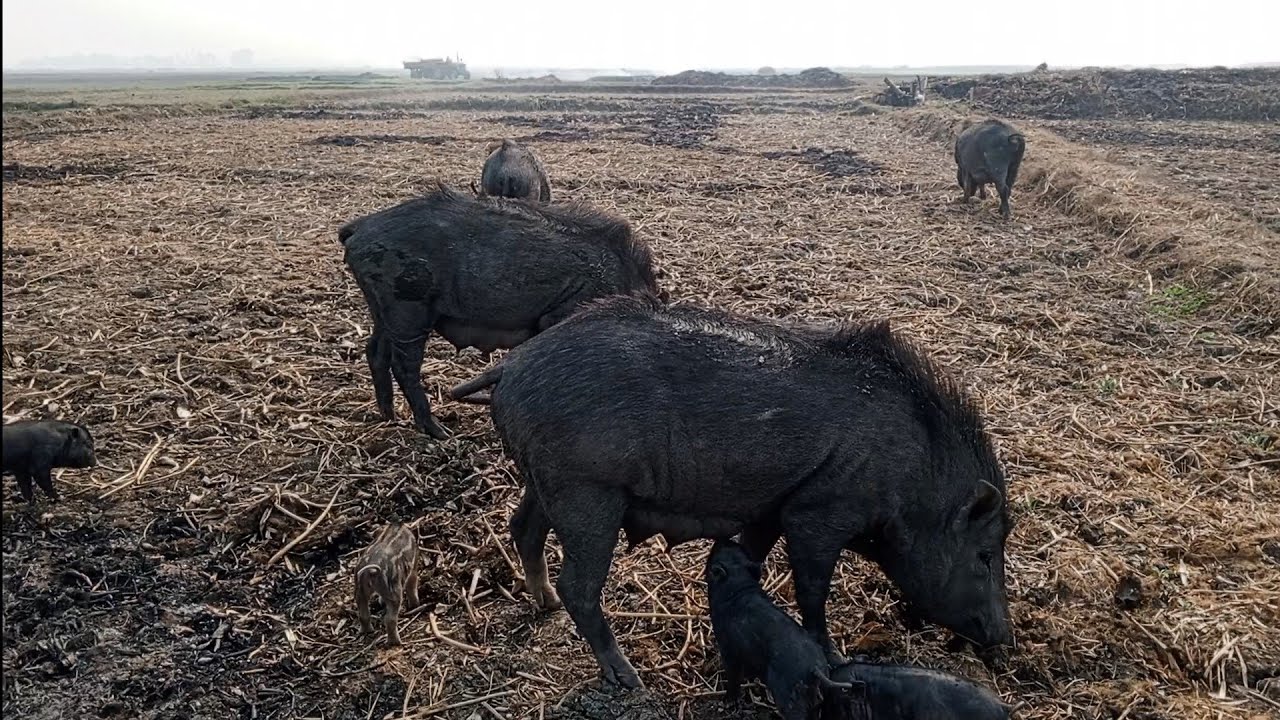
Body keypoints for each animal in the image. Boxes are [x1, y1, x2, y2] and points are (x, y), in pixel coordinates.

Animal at [339, 184, 661, 438]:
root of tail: (359, 227)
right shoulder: (558, 314)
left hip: (383, 310)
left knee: (375, 352)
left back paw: (390, 416)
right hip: (408, 309)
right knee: (403, 365)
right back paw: (439, 432)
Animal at [451, 295, 1012, 688]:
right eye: (985, 555)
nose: (1005, 638)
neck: (913, 480)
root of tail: (512, 364)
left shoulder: (768, 510)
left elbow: (754, 558)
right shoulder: (819, 512)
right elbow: (813, 590)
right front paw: (836, 657)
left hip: (545, 481)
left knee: (522, 528)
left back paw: (543, 603)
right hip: (588, 492)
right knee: (579, 585)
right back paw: (627, 678)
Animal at [707, 539, 862, 720]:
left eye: (714, 554)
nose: (723, 539)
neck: (737, 586)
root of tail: (815, 670)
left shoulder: (728, 647)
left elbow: (733, 675)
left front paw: (726, 702)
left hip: (790, 700)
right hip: (817, 701)